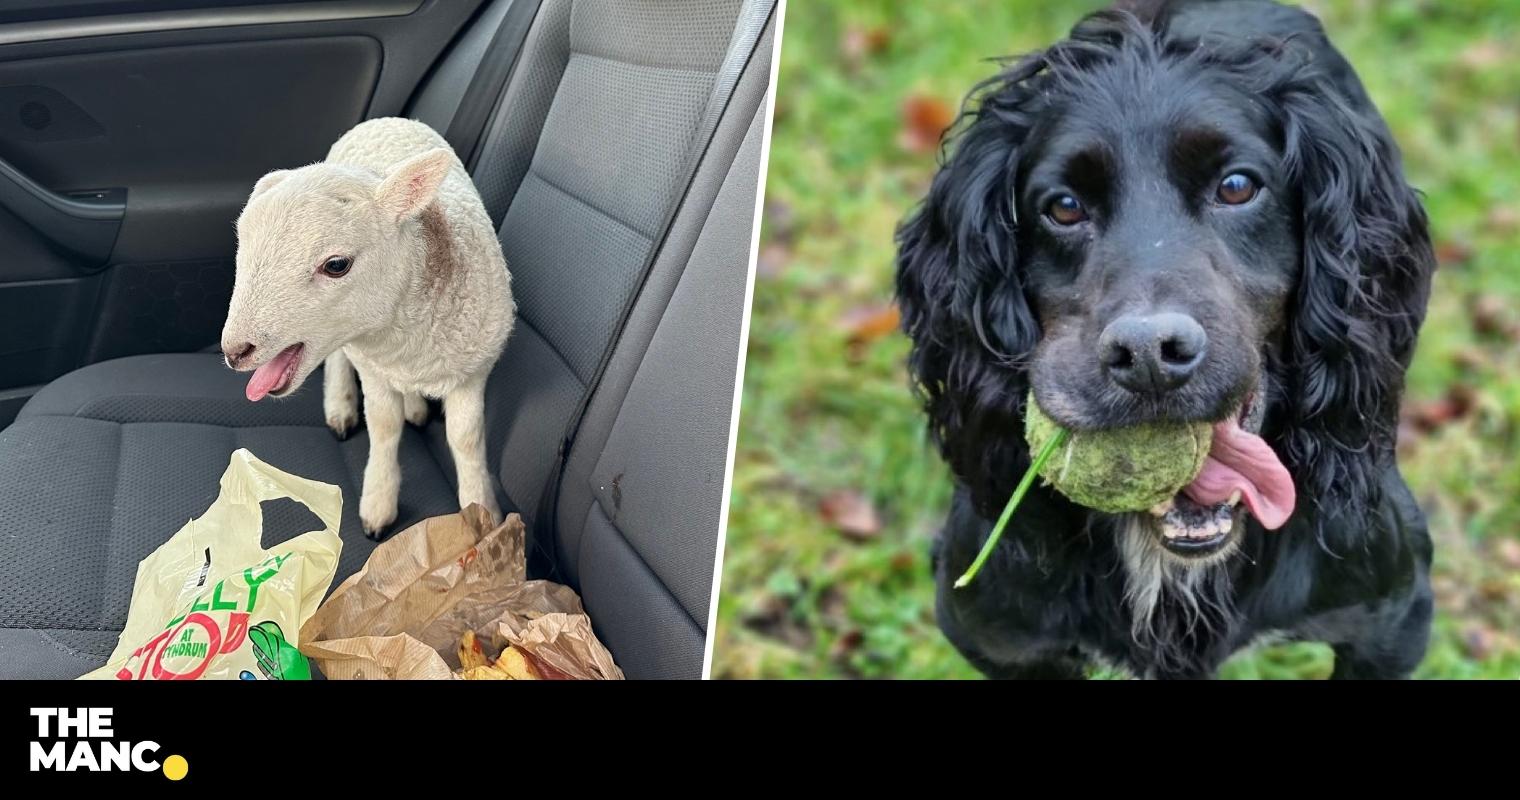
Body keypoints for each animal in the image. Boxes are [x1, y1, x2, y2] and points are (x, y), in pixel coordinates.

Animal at [221, 117, 514, 537]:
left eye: (336, 265)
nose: (234, 351)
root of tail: (387, 119)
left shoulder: (473, 370)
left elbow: (466, 438)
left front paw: (482, 513)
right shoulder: (372, 367)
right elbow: (384, 425)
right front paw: (378, 502)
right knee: (340, 358)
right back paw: (341, 404)